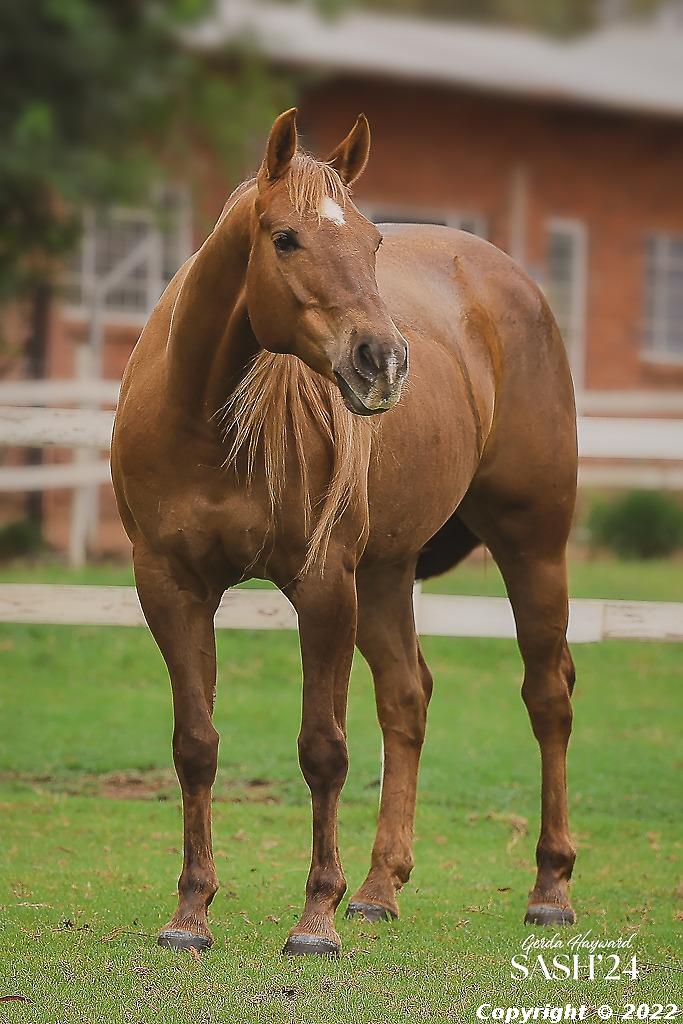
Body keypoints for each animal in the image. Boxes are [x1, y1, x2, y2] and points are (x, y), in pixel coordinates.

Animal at [111, 108, 578, 957]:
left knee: (546, 697)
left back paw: (549, 889)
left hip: (531, 542)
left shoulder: (323, 584)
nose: (383, 362)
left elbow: (322, 749)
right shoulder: (168, 584)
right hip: (387, 571)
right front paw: (190, 914)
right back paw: (377, 888)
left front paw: (314, 921)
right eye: (285, 238)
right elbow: (195, 743)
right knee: (406, 699)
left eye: (371, 242)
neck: (206, 420)